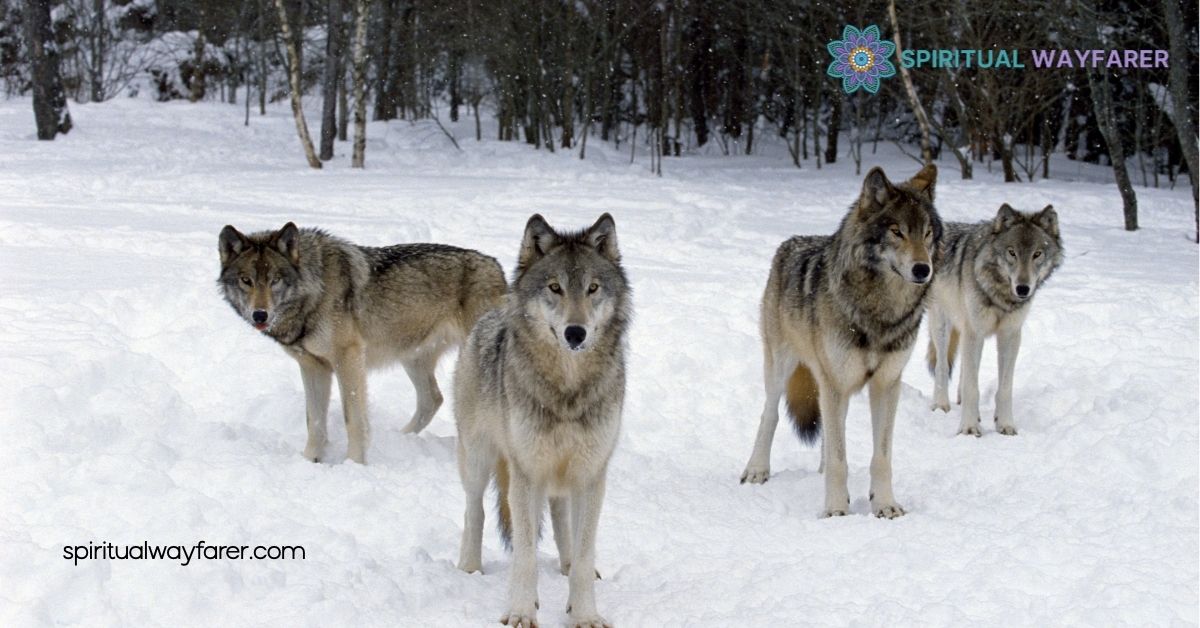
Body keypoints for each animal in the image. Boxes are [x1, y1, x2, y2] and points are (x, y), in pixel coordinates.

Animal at [217, 222, 506, 464]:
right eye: (246, 280)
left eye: (275, 280)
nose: (260, 315)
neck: (314, 291)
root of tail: (497, 266)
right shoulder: (313, 367)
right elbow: (314, 421)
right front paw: (310, 461)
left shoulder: (348, 359)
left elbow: (353, 419)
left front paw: (354, 464)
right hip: (412, 358)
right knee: (432, 399)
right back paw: (401, 438)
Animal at [454, 213, 629, 628]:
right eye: (555, 288)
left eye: (593, 288)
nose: (575, 332)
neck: (567, 390)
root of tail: (491, 313)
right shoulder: (526, 473)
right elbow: (524, 555)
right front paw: (520, 611)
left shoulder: (591, 474)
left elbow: (584, 553)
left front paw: (584, 614)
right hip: (479, 459)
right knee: (475, 509)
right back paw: (469, 568)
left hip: (562, 475)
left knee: (561, 517)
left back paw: (565, 565)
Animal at [739, 165, 942, 519]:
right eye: (897, 232)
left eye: (928, 233)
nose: (923, 269)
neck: (880, 312)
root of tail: (790, 242)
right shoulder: (834, 382)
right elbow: (839, 459)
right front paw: (835, 510)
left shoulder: (886, 384)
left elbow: (880, 457)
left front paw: (884, 505)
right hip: (783, 368)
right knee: (770, 415)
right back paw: (756, 470)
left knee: (830, 432)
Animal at [926, 204, 1062, 436]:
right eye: (1011, 252)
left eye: (1037, 254)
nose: (1023, 288)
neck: (1001, 296)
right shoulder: (975, 332)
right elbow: (972, 387)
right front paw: (969, 427)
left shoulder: (1010, 335)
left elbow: (1004, 388)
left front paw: (1005, 424)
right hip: (942, 325)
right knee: (942, 367)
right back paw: (941, 405)